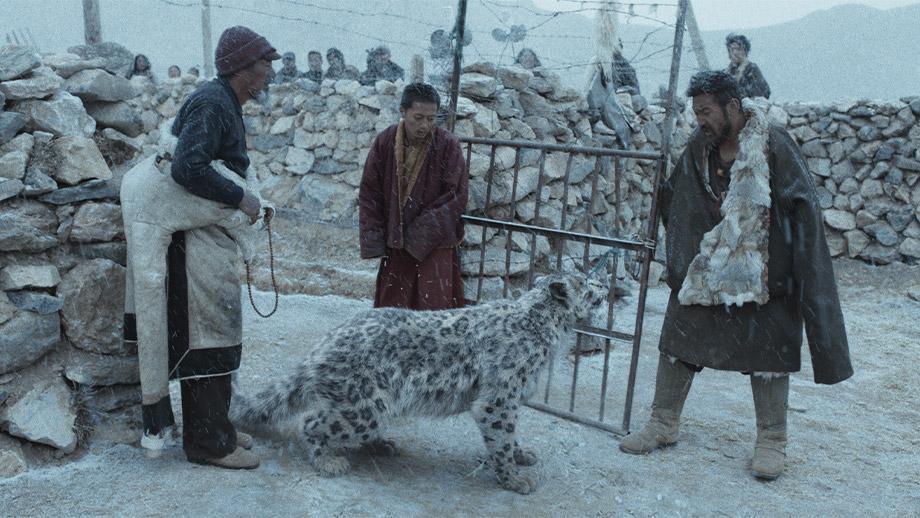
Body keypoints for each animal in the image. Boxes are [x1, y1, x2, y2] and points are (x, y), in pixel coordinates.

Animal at [231, 273, 608, 494]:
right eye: (585, 280)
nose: (606, 284)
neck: (548, 329)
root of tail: (321, 345)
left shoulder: (512, 399)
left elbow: (511, 434)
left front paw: (522, 455)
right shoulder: (499, 398)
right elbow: (500, 437)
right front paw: (514, 478)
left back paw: (382, 445)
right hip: (364, 407)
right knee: (311, 422)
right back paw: (329, 461)